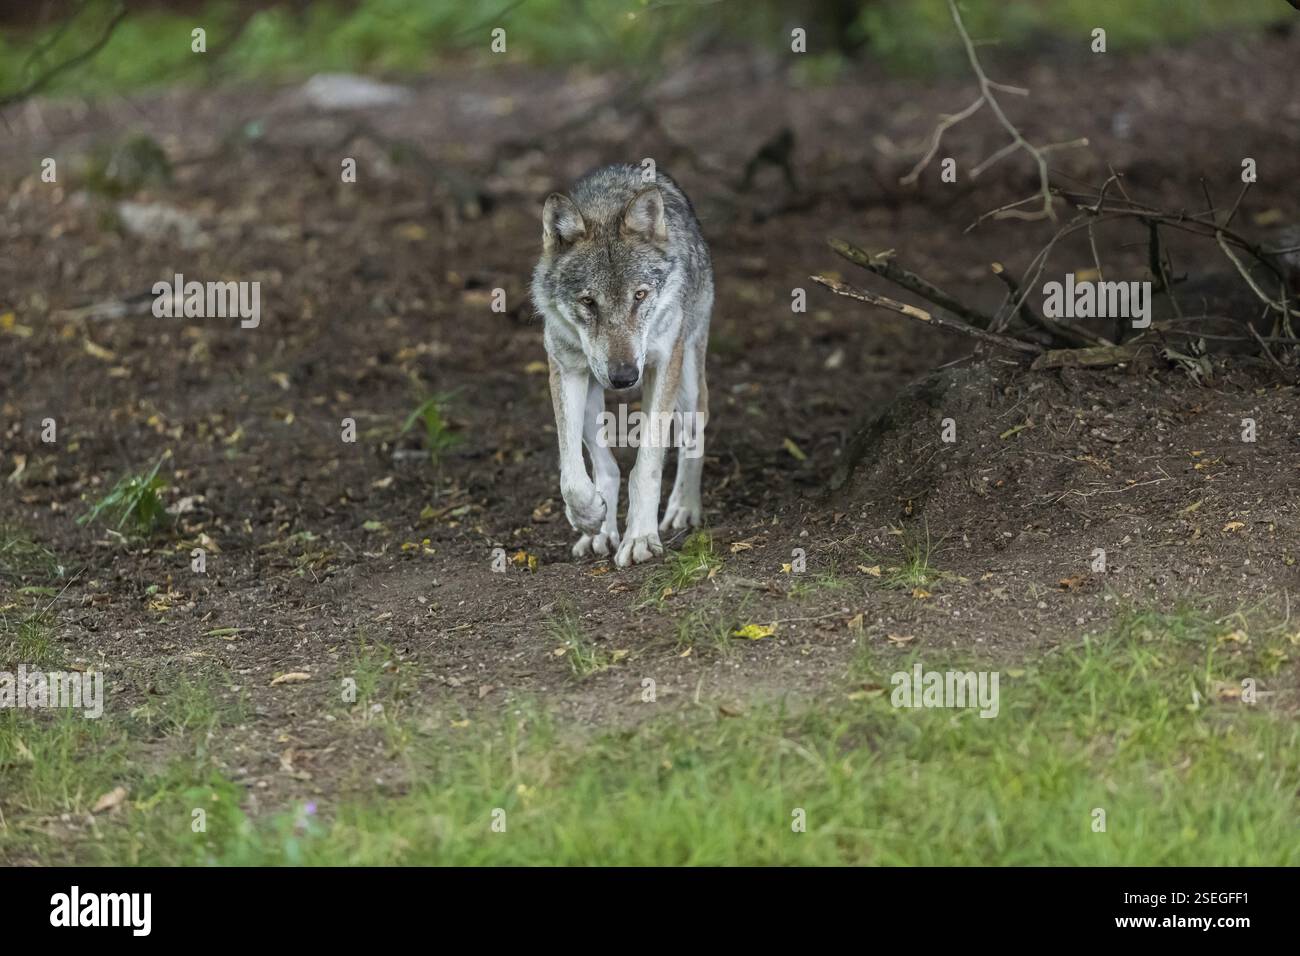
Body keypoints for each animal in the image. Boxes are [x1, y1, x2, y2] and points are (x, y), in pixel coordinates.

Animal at [531, 164, 713, 567]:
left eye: (640, 295)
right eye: (588, 301)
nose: (625, 377)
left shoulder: (663, 364)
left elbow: (646, 465)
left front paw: (641, 539)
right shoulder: (566, 368)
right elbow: (572, 472)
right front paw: (588, 515)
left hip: (688, 383)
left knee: (694, 432)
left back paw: (683, 508)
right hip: (591, 391)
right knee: (605, 466)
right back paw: (599, 532)